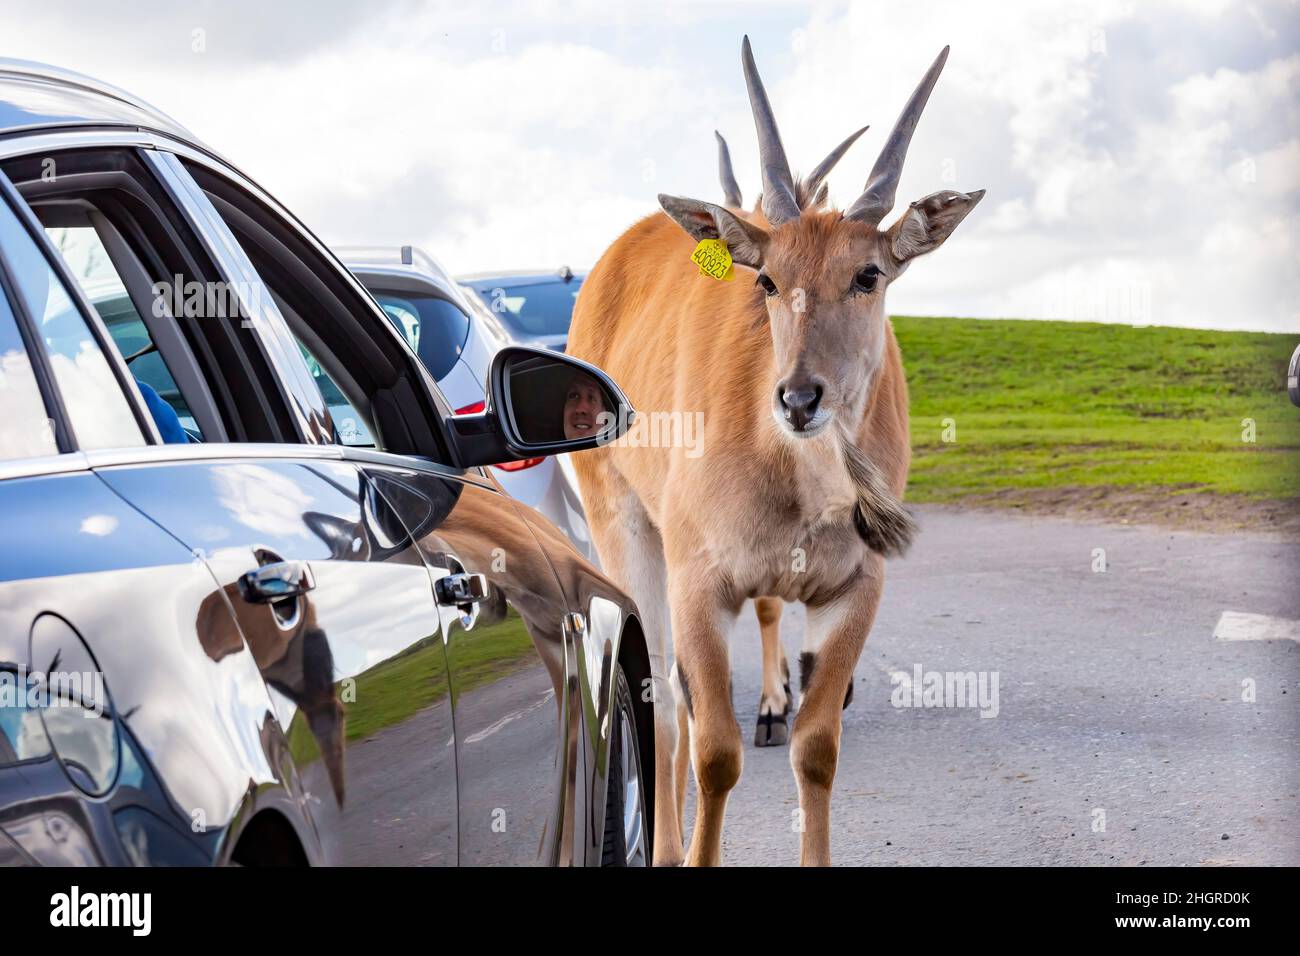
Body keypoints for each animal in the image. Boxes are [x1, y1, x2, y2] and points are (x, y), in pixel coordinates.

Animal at [568, 36, 983, 866]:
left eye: (868, 273)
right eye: (766, 279)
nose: (798, 399)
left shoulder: (853, 589)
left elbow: (816, 748)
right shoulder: (702, 584)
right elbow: (714, 750)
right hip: (624, 526)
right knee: (666, 702)